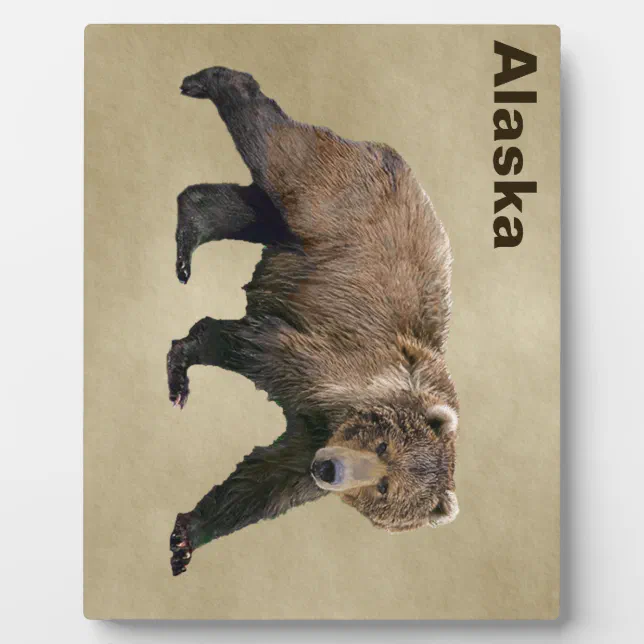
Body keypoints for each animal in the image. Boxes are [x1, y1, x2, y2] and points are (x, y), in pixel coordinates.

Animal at [167, 67, 459, 576]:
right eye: (383, 449)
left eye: (384, 488)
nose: (331, 470)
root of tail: (386, 152)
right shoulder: (332, 362)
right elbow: (249, 345)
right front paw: (182, 370)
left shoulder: (313, 437)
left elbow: (264, 482)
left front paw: (187, 537)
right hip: (331, 199)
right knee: (273, 142)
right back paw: (207, 81)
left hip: (304, 233)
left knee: (247, 208)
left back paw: (190, 228)